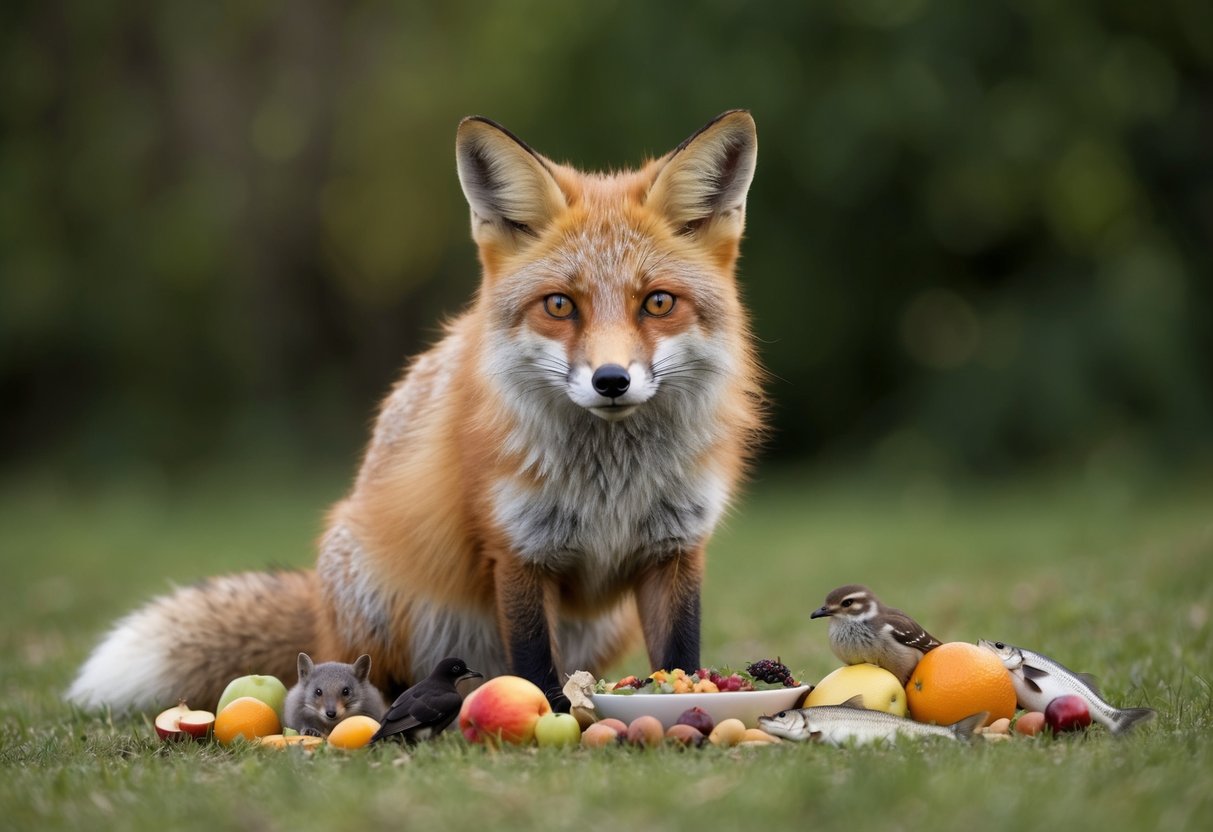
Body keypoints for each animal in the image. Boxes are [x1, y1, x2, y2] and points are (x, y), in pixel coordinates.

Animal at [67, 110, 763, 714]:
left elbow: (680, 655)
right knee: (368, 671)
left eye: (658, 303)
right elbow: (535, 670)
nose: (611, 381)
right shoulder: (517, 550)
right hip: (375, 599)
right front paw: (553, 720)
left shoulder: (675, 549)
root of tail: (319, 609)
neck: (611, 484)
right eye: (560, 305)